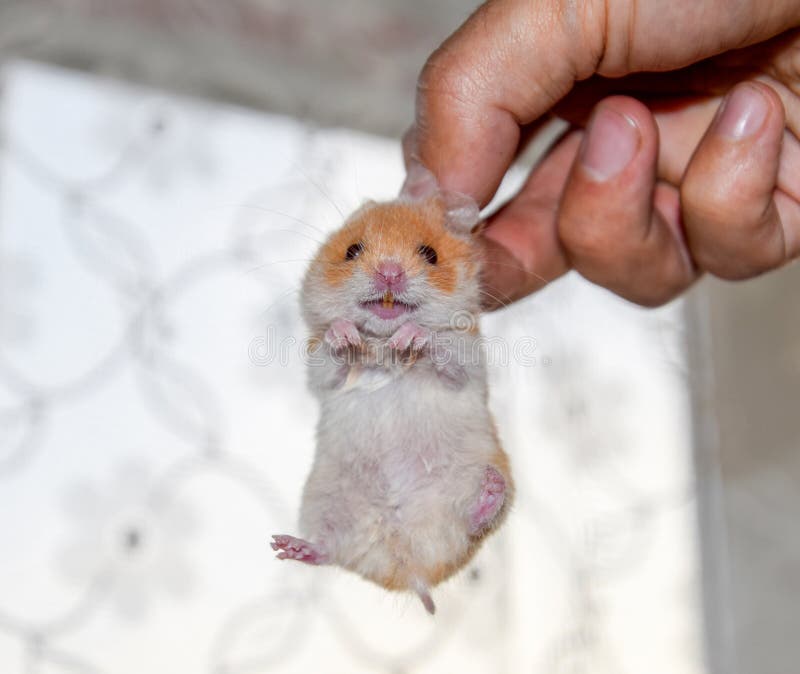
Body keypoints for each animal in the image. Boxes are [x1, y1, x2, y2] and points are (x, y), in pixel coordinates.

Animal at [271, 163, 513, 614]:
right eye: (352, 250)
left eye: (430, 254)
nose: (389, 272)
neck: (381, 345)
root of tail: (406, 563)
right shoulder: (320, 373)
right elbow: (331, 360)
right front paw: (346, 333)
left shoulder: (467, 362)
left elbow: (442, 351)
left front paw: (410, 337)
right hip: (325, 500)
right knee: (331, 550)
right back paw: (287, 546)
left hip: (466, 485)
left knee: (471, 524)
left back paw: (490, 491)